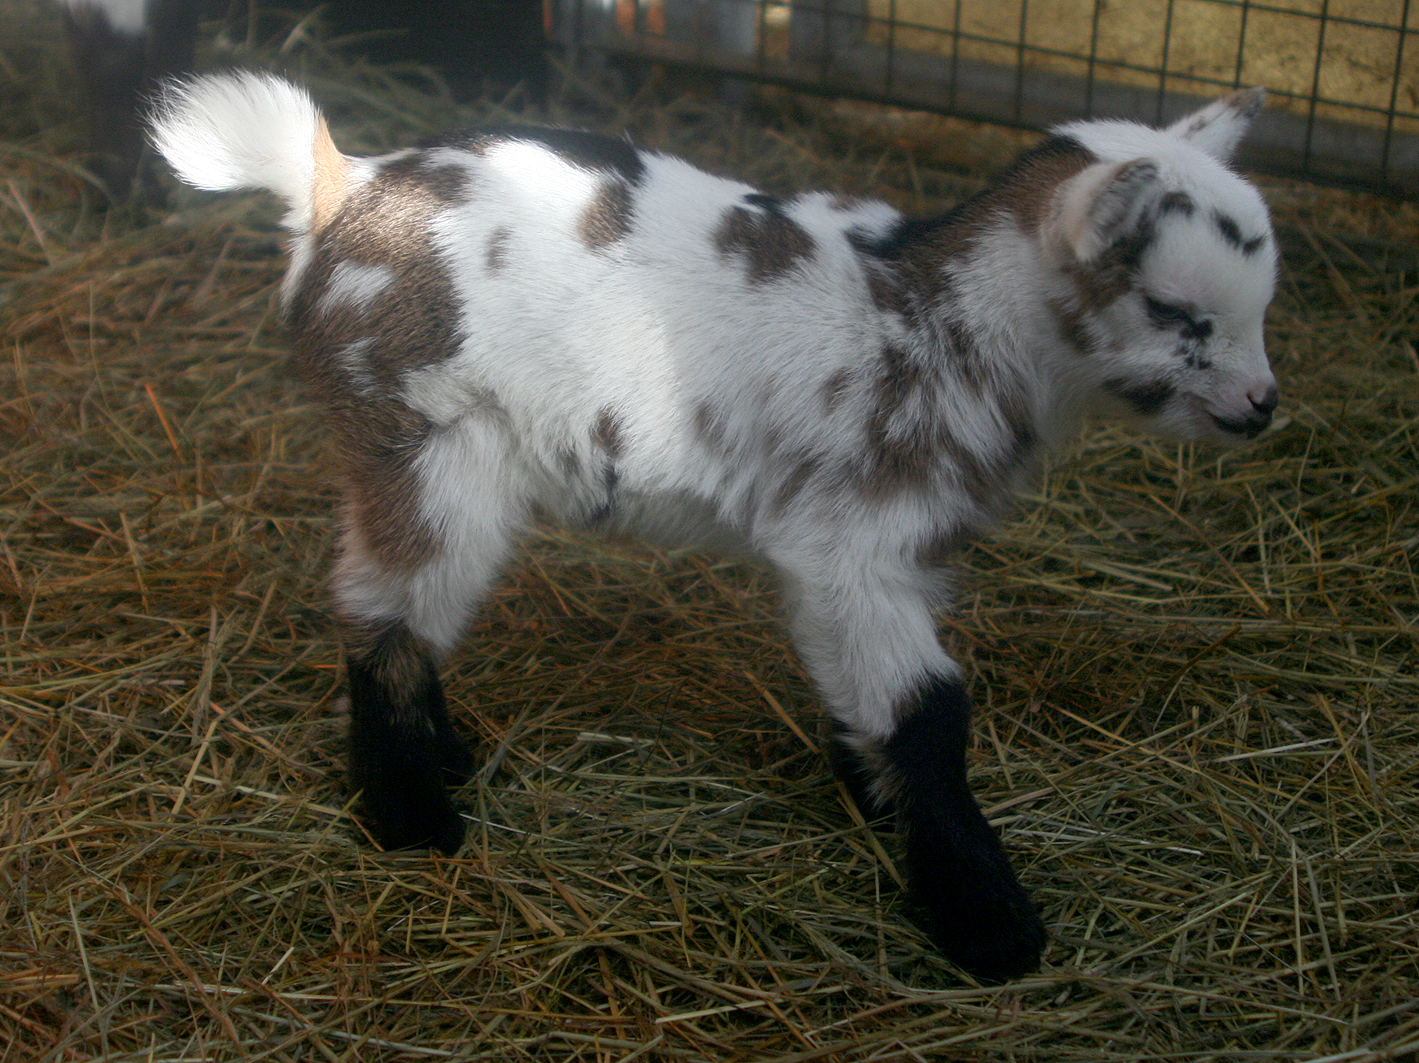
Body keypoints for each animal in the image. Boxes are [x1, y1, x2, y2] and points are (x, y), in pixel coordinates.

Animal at [150, 73, 1278, 982]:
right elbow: (929, 715)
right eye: (1178, 311)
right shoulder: (854, 547)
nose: (1262, 405)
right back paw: (414, 815)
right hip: (422, 441)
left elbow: (871, 700)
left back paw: (446, 758)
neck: (939, 321)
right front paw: (989, 921)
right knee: (383, 609)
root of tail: (334, 188)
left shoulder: (883, 555)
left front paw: (878, 801)